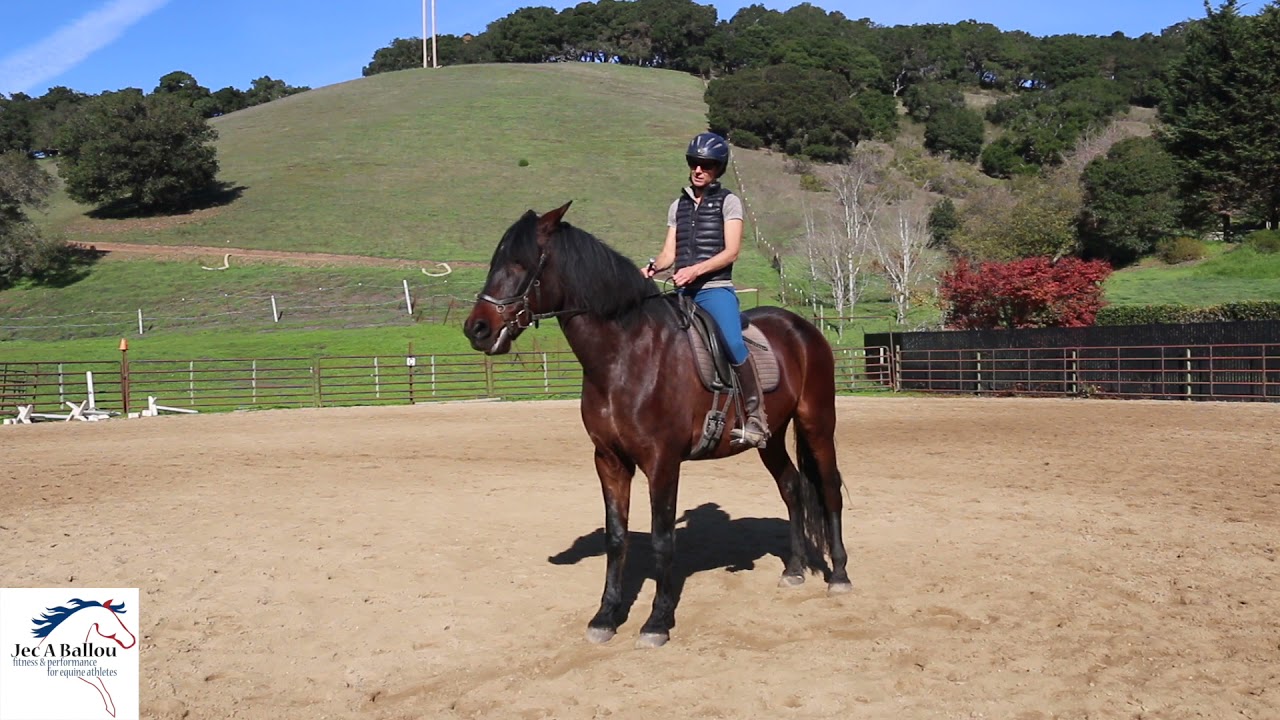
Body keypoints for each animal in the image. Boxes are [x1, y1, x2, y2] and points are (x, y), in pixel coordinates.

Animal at [463, 202, 850, 648]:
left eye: (520, 263)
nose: (476, 328)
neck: (626, 355)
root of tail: (801, 327)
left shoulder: (662, 462)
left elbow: (663, 539)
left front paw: (657, 621)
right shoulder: (609, 461)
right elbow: (617, 538)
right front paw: (606, 616)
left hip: (817, 423)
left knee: (829, 489)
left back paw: (839, 575)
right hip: (769, 439)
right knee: (791, 487)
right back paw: (795, 569)